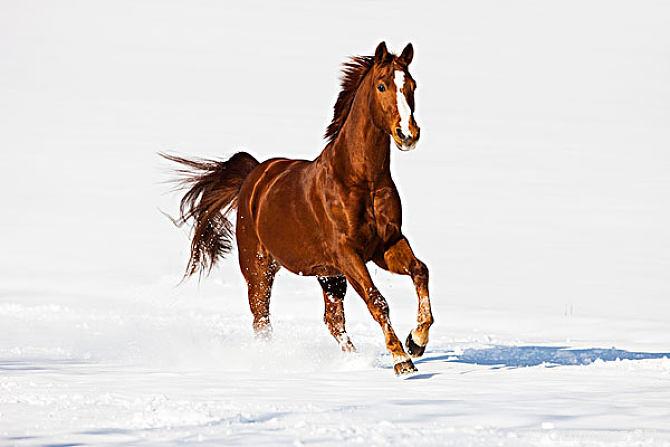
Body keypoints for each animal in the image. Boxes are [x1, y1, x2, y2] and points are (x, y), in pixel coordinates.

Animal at [161, 42, 433, 375]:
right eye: (382, 85)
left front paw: (416, 341)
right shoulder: (347, 253)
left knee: (333, 321)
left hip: (328, 276)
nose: (408, 134)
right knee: (262, 320)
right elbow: (377, 300)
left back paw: (353, 360)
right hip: (259, 268)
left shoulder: (386, 245)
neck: (360, 179)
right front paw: (401, 359)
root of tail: (253, 178)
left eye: (412, 85)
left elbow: (420, 271)